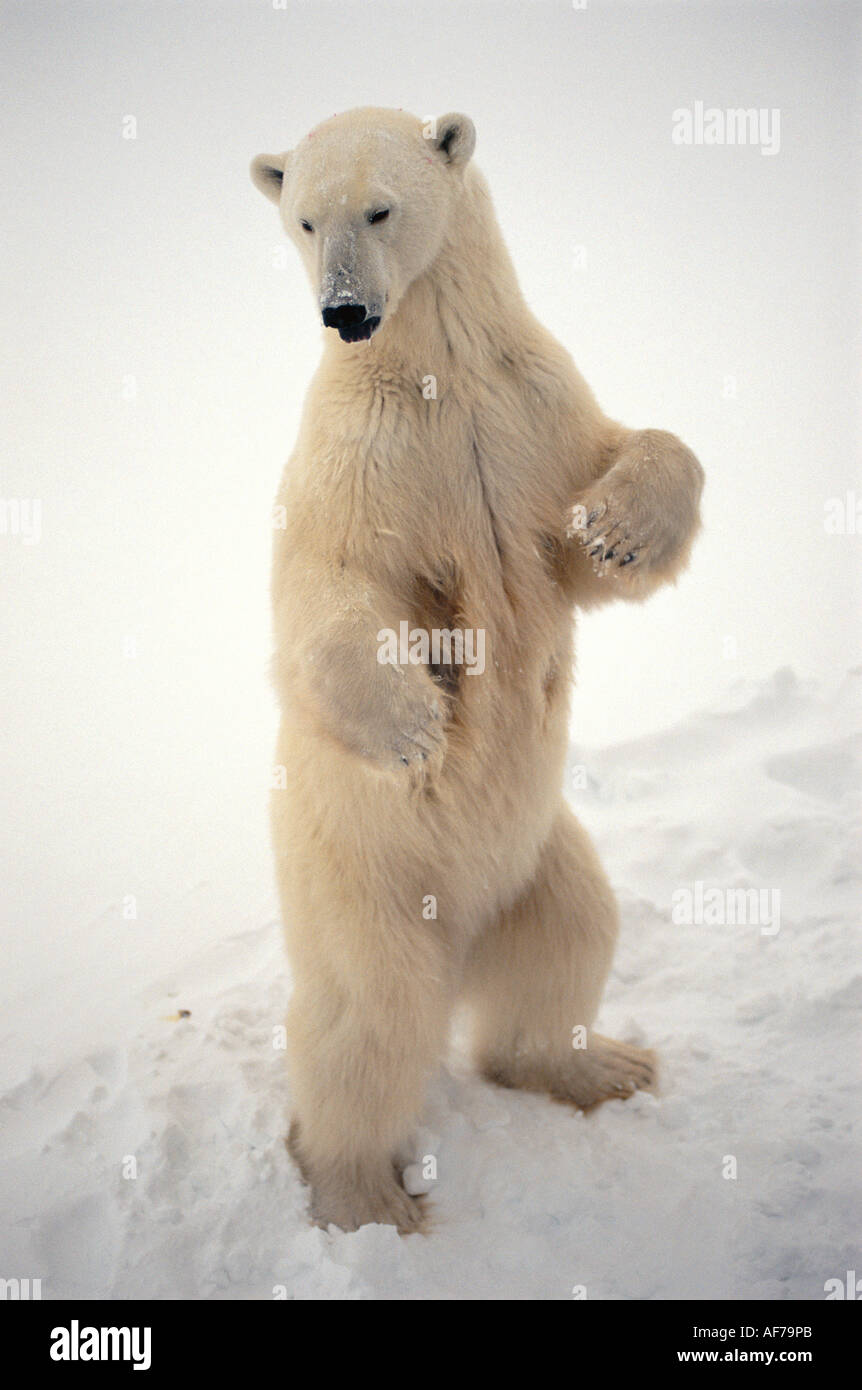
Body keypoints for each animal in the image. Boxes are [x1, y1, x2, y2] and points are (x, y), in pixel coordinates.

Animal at [250, 107, 704, 1234]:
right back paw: (366, 1194)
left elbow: (607, 495)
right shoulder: (361, 453)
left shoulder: (530, 408)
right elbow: (329, 585)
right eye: (303, 218)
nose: (346, 311)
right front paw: (415, 721)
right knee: (368, 1019)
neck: (435, 367)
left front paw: (619, 529)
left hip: (537, 854)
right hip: (359, 877)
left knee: (569, 939)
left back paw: (603, 1066)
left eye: (379, 209)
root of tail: (459, 940)